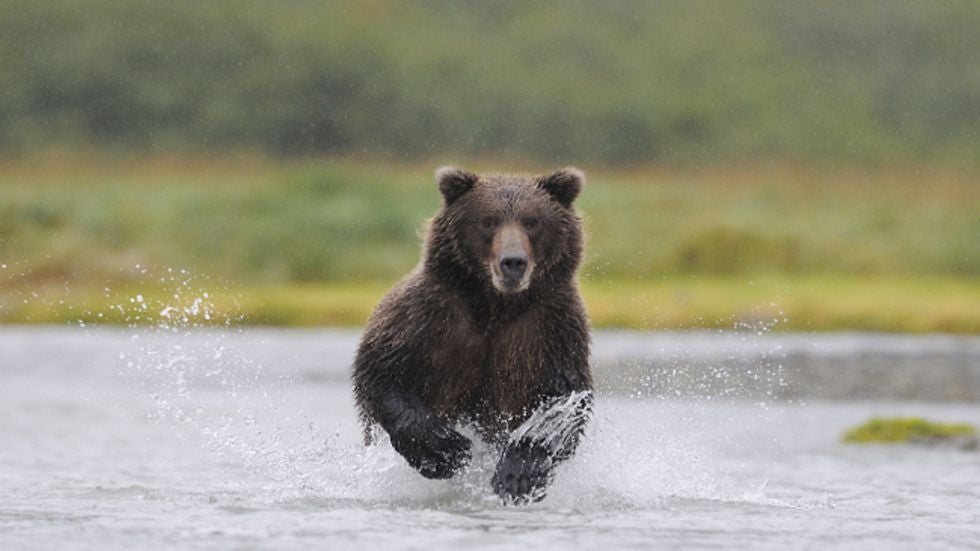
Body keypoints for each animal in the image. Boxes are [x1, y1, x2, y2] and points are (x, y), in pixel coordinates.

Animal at [351, 166, 593, 504]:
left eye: (532, 221)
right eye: (488, 220)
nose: (513, 262)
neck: (495, 306)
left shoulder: (551, 328)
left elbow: (564, 399)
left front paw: (519, 474)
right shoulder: (426, 316)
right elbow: (381, 372)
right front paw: (443, 450)